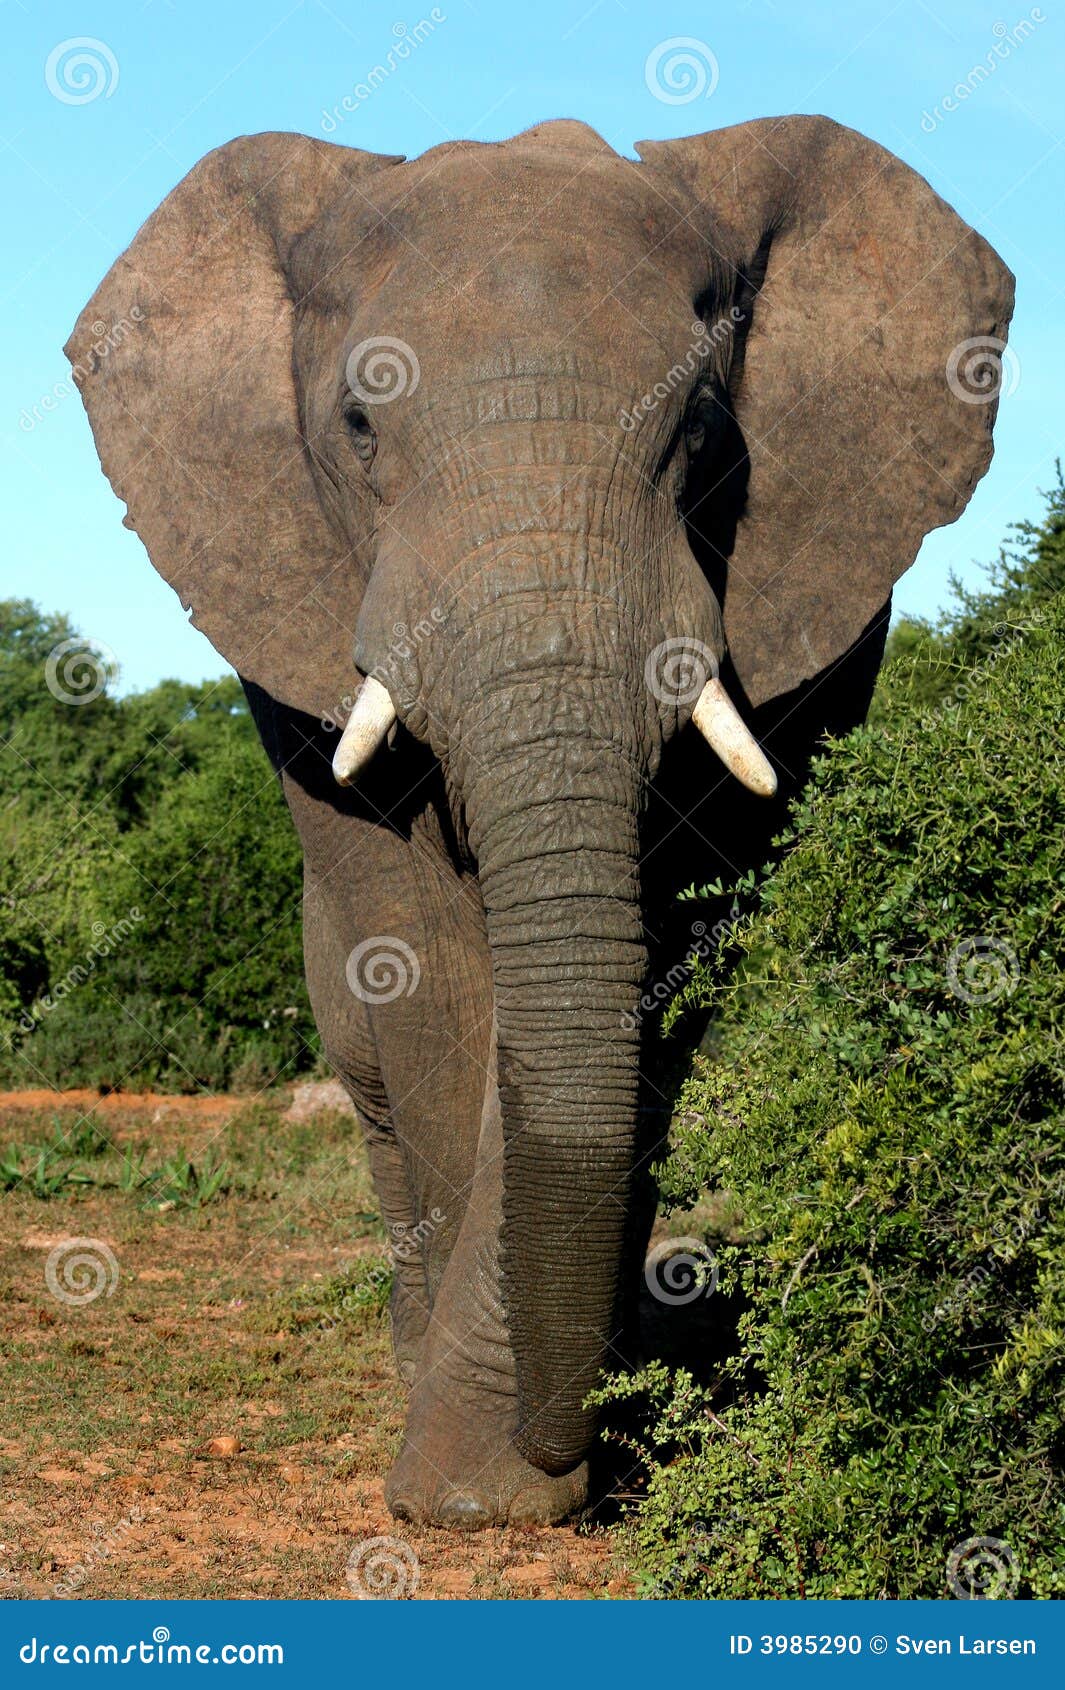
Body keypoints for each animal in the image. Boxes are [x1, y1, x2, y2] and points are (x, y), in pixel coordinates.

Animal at [67, 115, 1012, 1530]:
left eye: (702, 431)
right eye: (358, 426)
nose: (558, 1450)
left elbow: (666, 936)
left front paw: (518, 1472)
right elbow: (415, 945)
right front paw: (475, 1495)